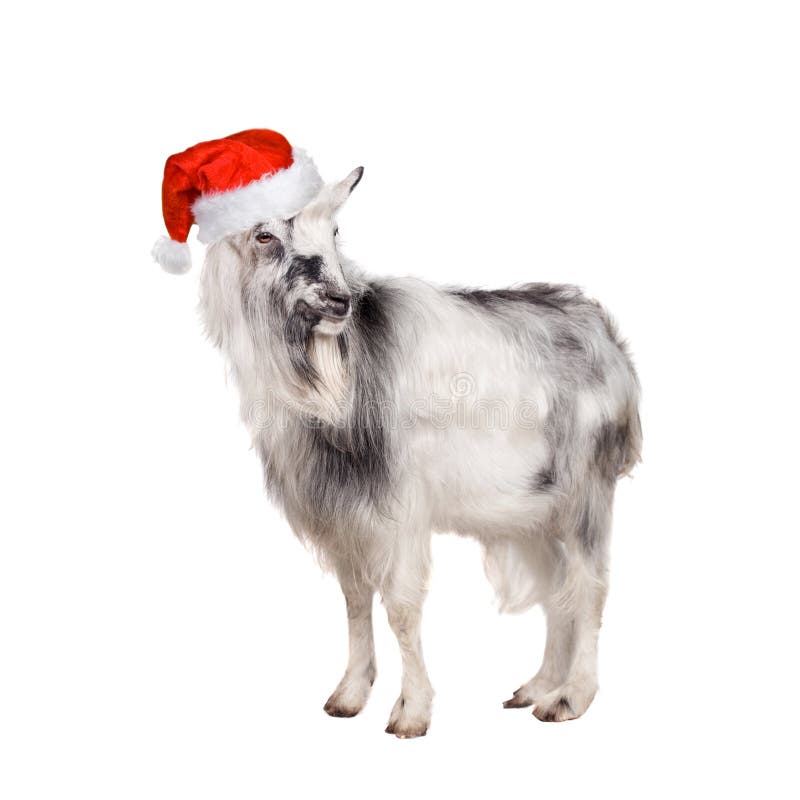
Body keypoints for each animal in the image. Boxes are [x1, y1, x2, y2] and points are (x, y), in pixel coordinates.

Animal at [197, 167, 641, 738]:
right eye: (264, 234)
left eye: (335, 231)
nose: (339, 300)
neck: (337, 373)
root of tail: (607, 338)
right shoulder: (345, 516)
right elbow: (355, 600)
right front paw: (349, 694)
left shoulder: (400, 510)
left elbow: (402, 607)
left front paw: (411, 712)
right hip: (532, 509)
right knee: (556, 587)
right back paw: (536, 686)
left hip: (587, 487)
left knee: (588, 586)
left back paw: (569, 698)